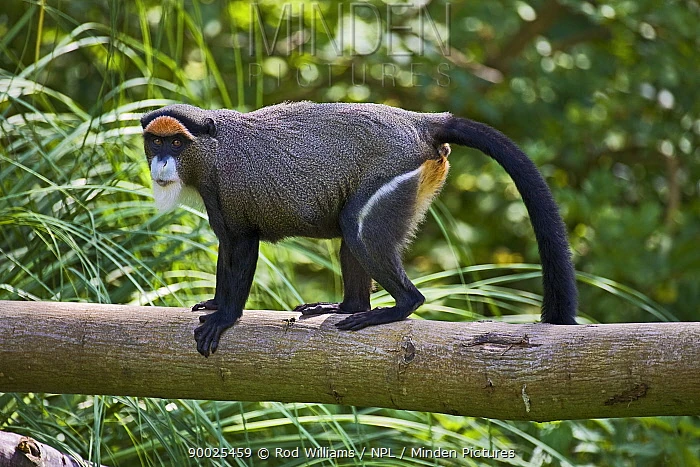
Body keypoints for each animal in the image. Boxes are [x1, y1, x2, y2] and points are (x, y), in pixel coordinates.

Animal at [141, 102, 578, 357]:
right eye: (155, 141)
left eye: (176, 143)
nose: (161, 162)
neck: (211, 152)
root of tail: (419, 122)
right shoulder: (220, 208)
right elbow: (227, 248)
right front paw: (216, 303)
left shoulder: (235, 196)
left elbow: (244, 248)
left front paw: (226, 316)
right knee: (350, 234)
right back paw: (349, 307)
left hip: (396, 178)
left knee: (358, 230)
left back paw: (396, 307)